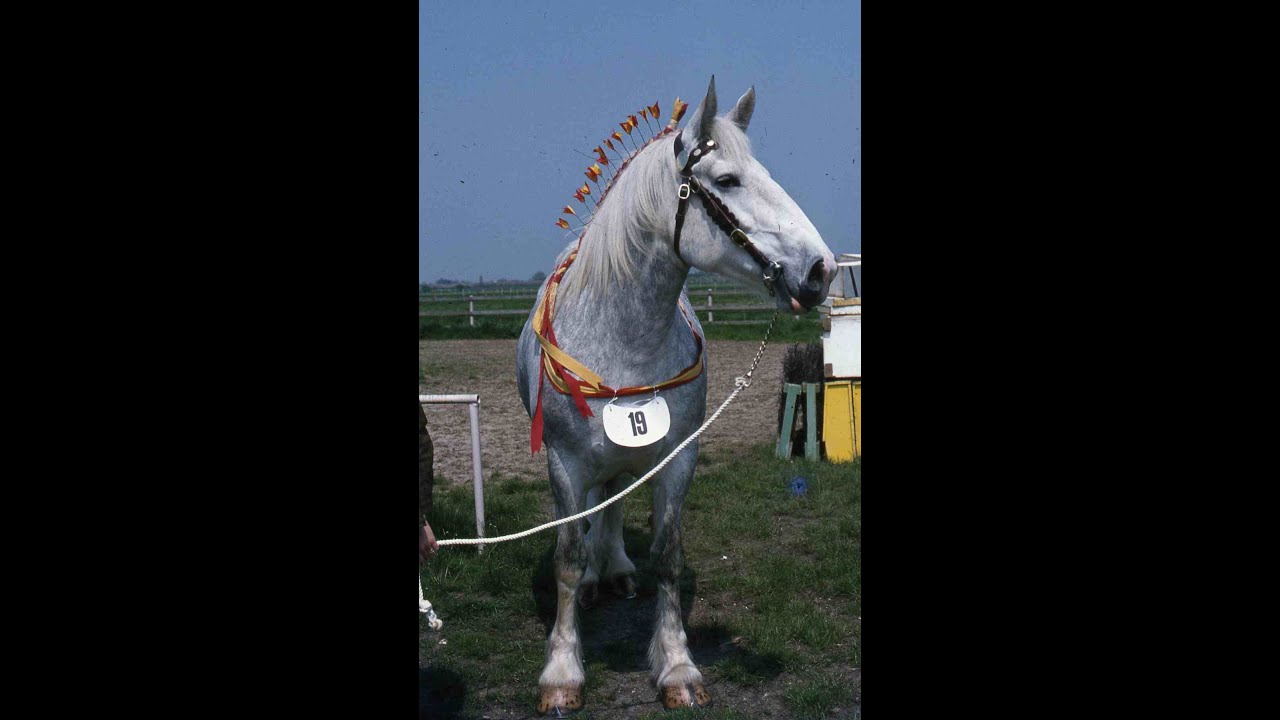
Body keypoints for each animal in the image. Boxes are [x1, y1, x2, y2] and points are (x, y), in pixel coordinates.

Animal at [516, 76, 836, 714]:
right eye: (728, 180)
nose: (822, 271)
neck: (623, 340)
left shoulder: (678, 456)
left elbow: (667, 555)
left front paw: (677, 667)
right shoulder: (564, 464)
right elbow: (567, 559)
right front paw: (562, 672)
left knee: (613, 503)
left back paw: (615, 569)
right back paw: (596, 580)